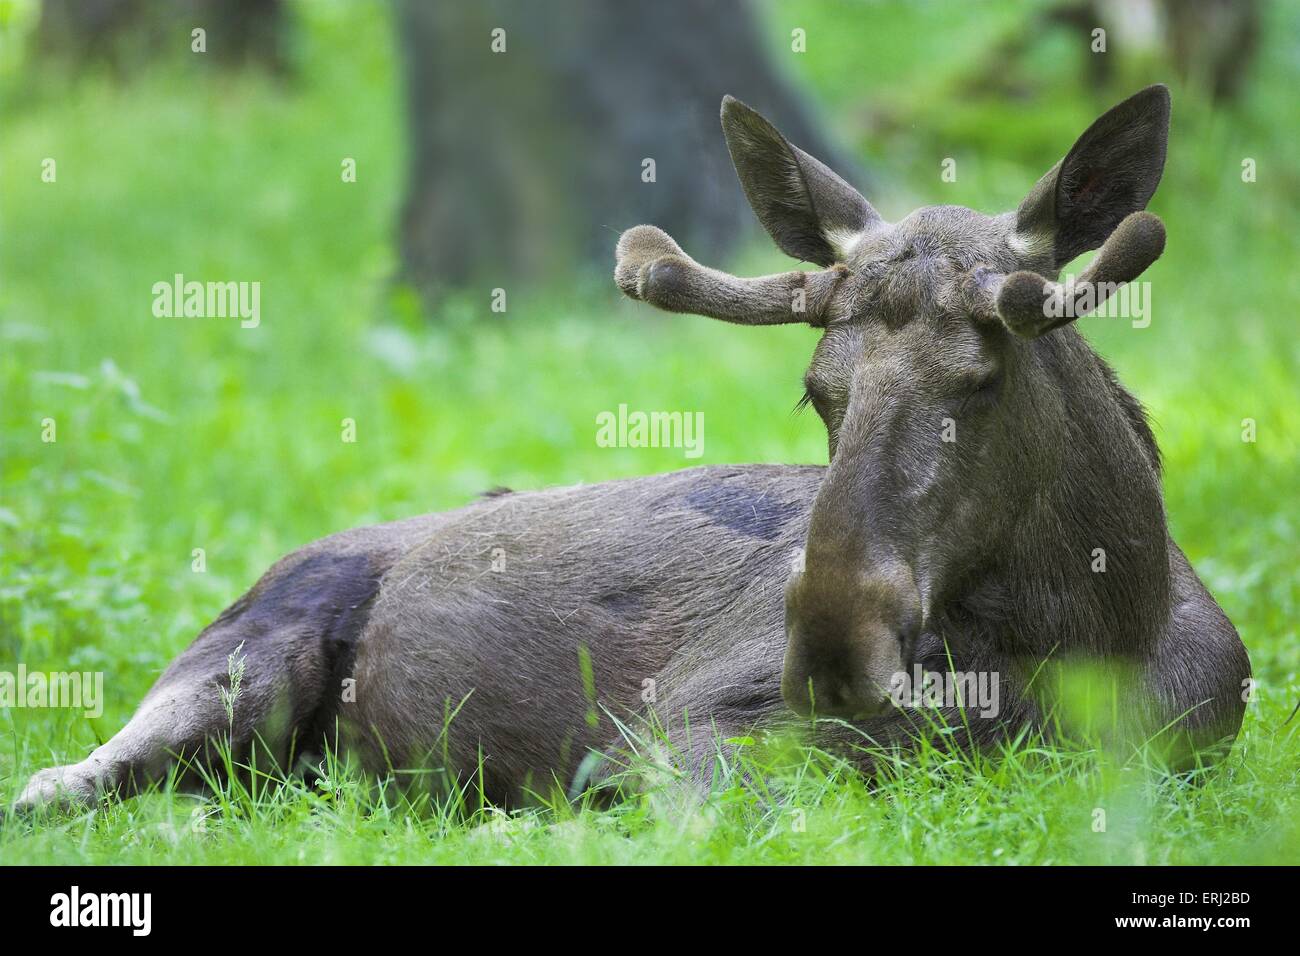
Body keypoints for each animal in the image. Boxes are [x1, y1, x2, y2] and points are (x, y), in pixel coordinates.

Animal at [12, 85, 1249, 815]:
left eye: (979, 380)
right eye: (818, 391)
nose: (831, 645)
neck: (1099, 636)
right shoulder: (682, 727)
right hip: (237, 662)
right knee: (57, 779)